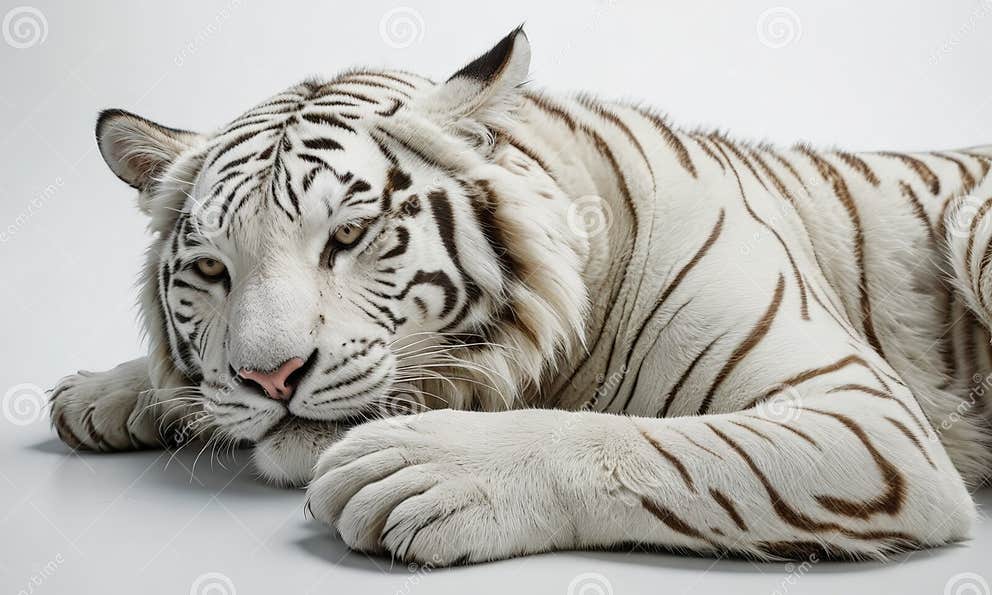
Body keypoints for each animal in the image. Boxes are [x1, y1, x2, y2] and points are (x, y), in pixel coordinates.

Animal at [49, 27, 992, 565]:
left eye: (348, 237)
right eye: (213, 271)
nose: (270, 376)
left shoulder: (867, 418)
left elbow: (664, 445)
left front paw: (429, 467)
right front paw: (105, 391)